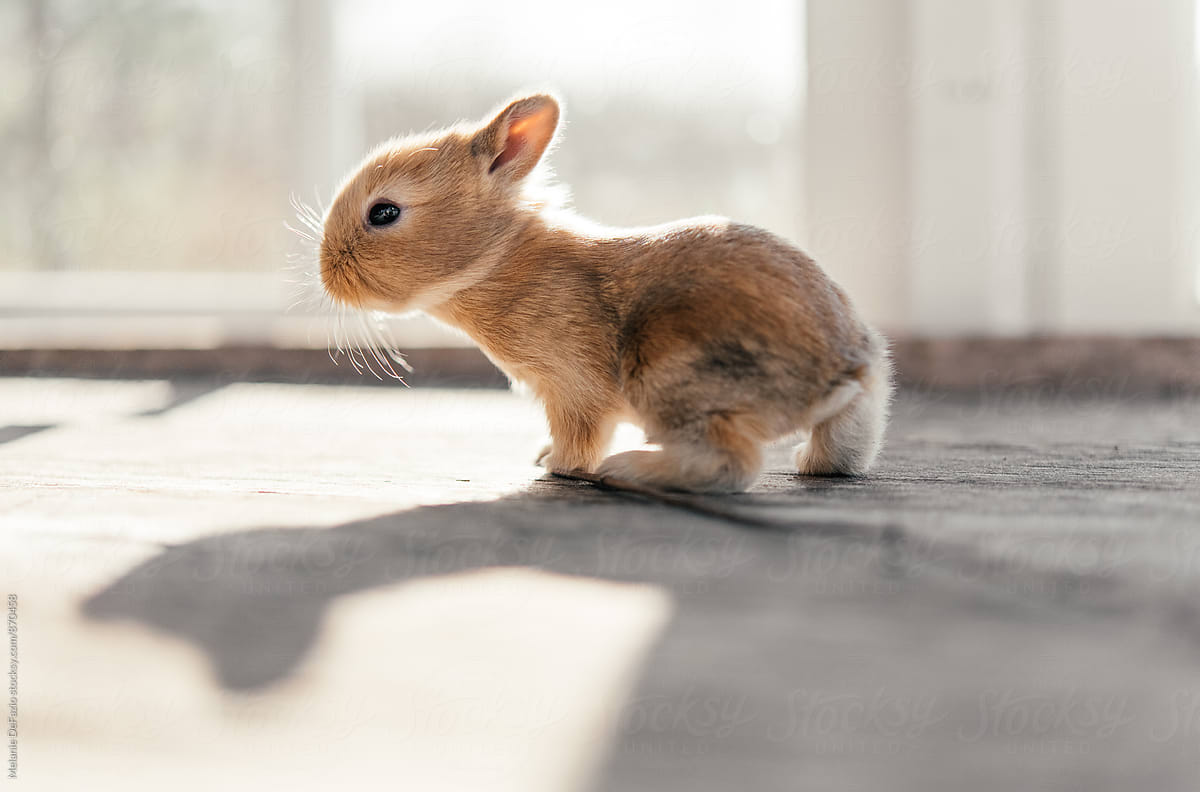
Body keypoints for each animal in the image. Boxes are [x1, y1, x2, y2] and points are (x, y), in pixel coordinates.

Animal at [318, 93, 893, 493]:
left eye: (384, 212)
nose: (326, 270)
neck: (498, 260)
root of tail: (839, 369)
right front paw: (543, 456)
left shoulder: (573, 391)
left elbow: (579, 437)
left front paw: (555, 466)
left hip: (667, 372)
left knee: (731, 465)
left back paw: (629, 470)